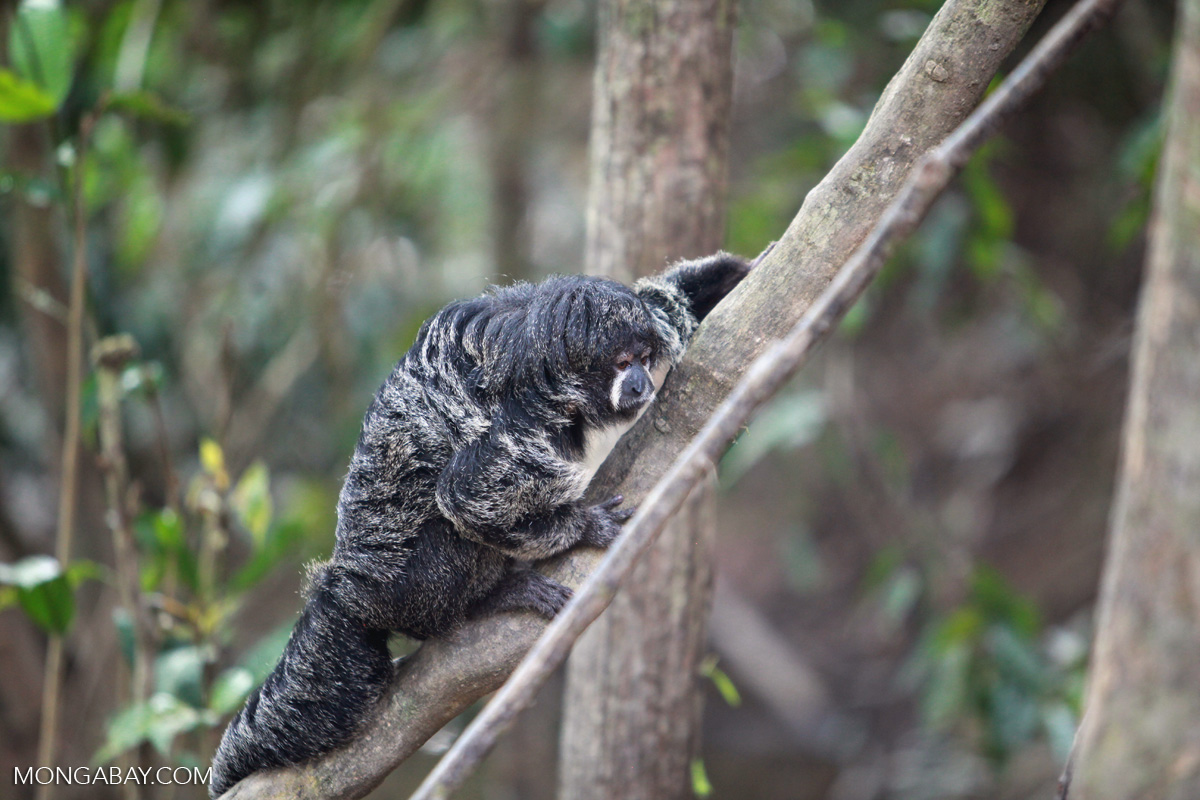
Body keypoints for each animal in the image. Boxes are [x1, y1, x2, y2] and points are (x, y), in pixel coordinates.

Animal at [208, 252, 751, 797]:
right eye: (622, 365)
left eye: (643, 357)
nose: (640, 383)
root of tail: (349, 584)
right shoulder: (522, 409)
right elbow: (464, 495)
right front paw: (580, 526)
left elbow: (666, 301)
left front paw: (729, 275)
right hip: (414, 585)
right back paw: (489, 599)